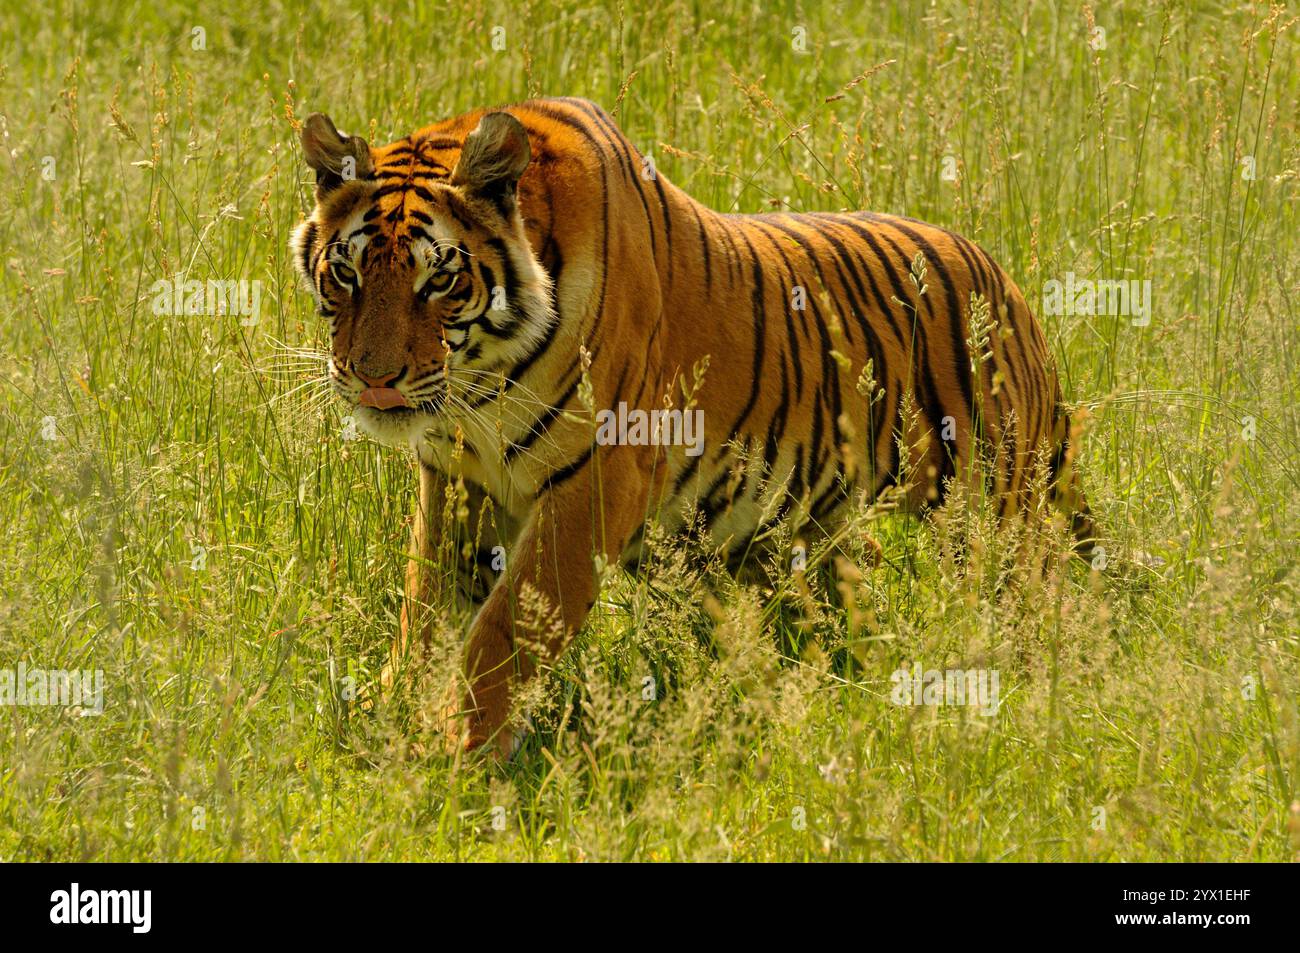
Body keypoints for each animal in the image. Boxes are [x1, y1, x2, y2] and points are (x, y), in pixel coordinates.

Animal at [289, 97, 1093, 758]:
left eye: (441, 280)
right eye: (347, 274)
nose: (374, 377)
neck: (480, 388)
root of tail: (1008, 286)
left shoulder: (595, 480)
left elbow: (504, 628)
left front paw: (458, 750)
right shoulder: (459, 481)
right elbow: (424, 608)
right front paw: (394, 715)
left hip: (998, 510)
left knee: (1040, 595)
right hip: (805, 532)